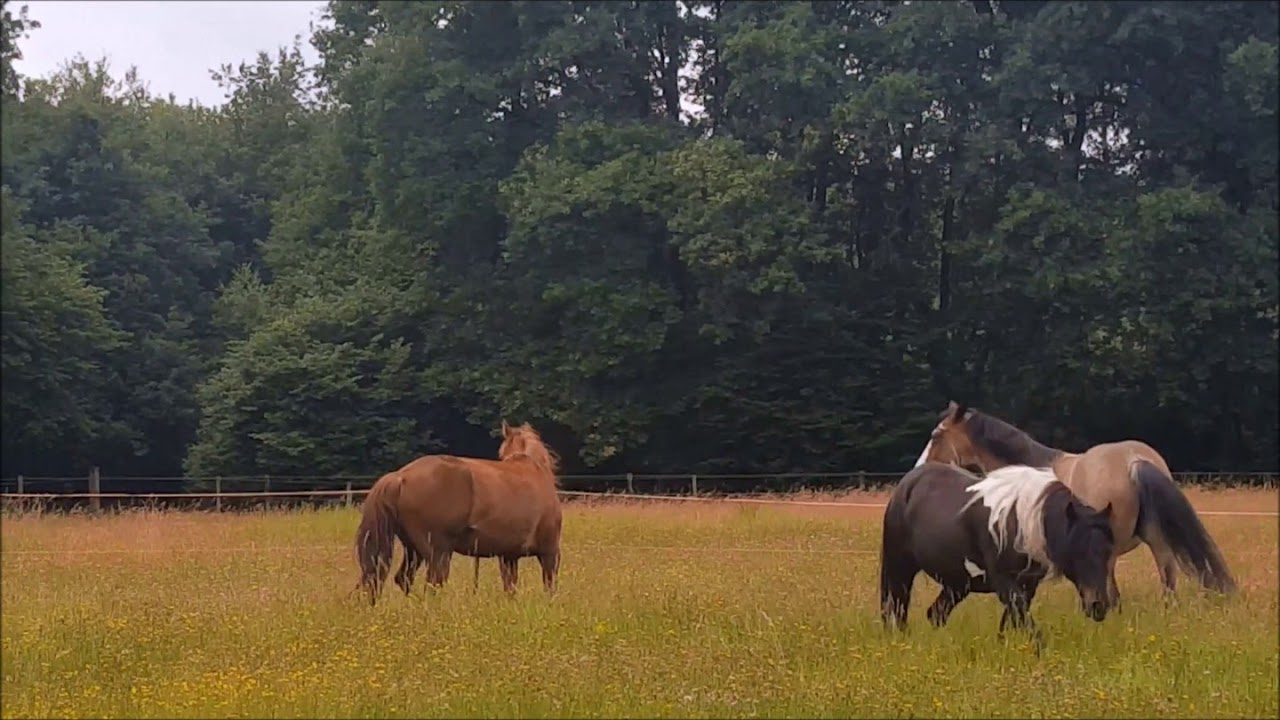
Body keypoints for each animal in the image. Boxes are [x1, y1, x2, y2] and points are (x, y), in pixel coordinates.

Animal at [355, 420, 563, 605]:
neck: (534, 471)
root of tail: (400, 477)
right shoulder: (549, 552)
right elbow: (549, 586)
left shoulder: (508, 556)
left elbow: (510, 588)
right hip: (438, 553)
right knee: (433, 584)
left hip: (413, 550)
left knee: (404, 578)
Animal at [880, 462, 1116, 642]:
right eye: (1077, 549)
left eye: (1107, 552)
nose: (1098, 606)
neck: (1022, 521)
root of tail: (907, 483)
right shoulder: (1004, 582)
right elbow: (1024, 621)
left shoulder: (1027, 585)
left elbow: (1011, 622)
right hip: (901, 570)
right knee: (897, 611)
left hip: (957, 584)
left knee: (935, 614)